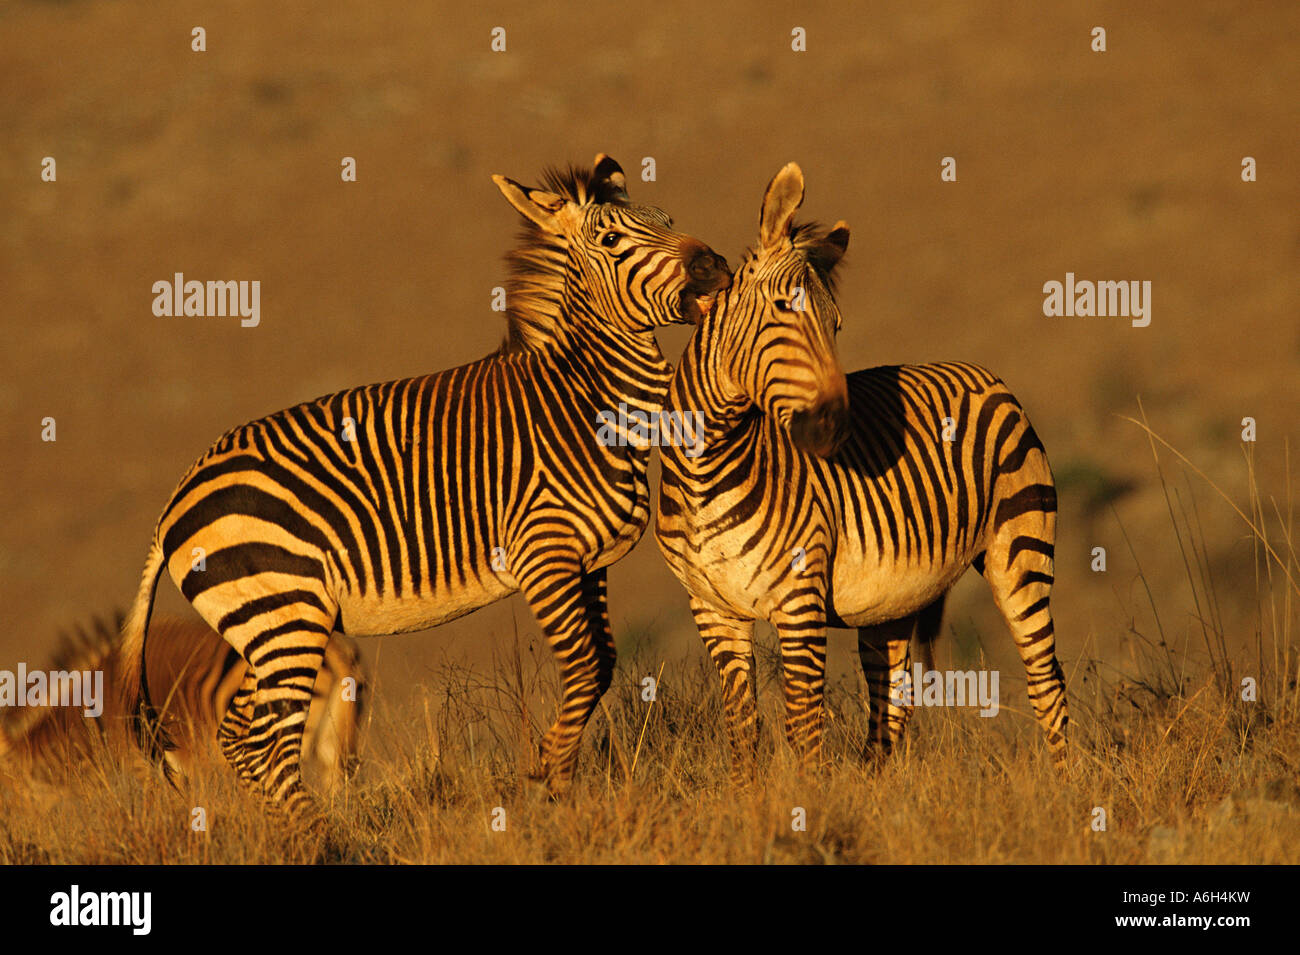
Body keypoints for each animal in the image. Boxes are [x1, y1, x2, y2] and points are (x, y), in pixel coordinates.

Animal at [118, 155, 731, 818]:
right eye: (613, 241)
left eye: (667, 218)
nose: (717, 267)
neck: (580, 397)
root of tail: (173, 504)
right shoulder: (544, 555)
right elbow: (589, 668)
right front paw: (546, 781)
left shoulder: (590, 563)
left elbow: (606, 666)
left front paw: (560, 789)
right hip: (286, 616)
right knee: (265, 741)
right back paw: (321, 835)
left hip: (264, 626)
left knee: (239, 735)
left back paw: (286, 830)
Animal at [655, 162, 1067, 784]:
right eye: (783, 310)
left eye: (837, 326)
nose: (833, 429)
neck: (708, 470)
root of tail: (984, 374)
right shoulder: (713, 611)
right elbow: (743, 730)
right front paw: (750, 800)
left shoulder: (799, 599)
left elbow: (804, 728)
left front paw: (807, 805)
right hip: (894, 598)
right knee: (890, 708)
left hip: (1020, 548)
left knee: (1046, 678)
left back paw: (1073, 785)